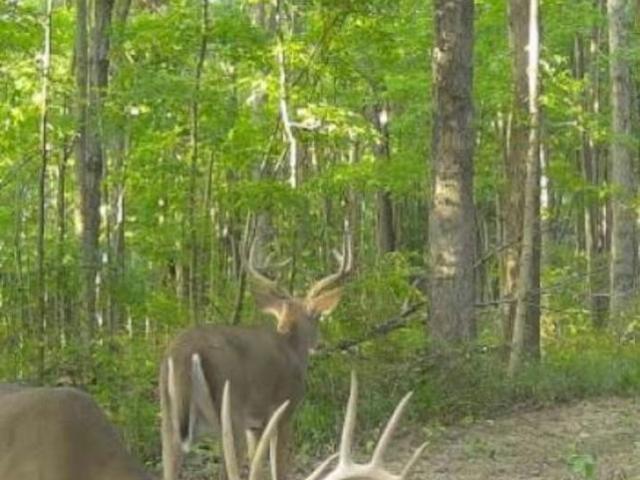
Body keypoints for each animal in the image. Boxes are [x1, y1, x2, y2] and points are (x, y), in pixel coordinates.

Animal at [160, 237, 353, 480]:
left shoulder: (255, 424)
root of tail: (184, 351)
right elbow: (278, 469)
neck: (291, 346)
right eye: (317, 317)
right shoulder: (284, 410)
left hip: (168, 417)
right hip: (230, 412)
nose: (319, 344)